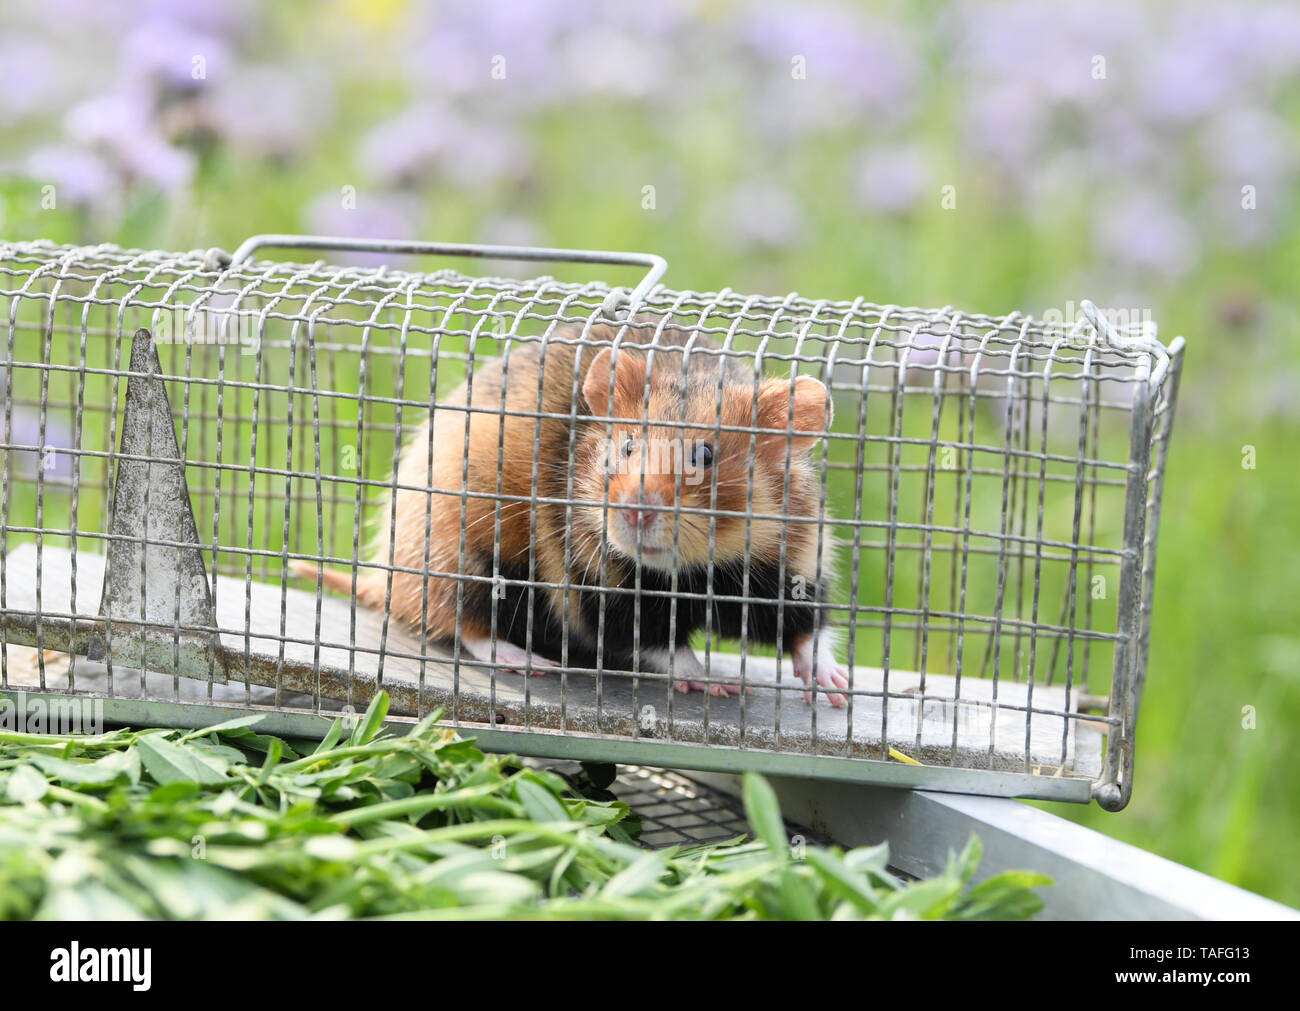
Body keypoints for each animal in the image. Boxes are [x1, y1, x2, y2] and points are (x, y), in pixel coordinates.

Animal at [291, 317, 850, 706]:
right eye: (626, 447)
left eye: (706, 456)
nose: (632, 515)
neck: (694, 568)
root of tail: (383, 578)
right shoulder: (597, 588)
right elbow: (659, 646)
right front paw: (714, 681)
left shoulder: (794, 565)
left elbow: (808, 630)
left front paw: (834, 686)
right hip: (462, 549)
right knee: (461, 619)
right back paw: (523, 659)